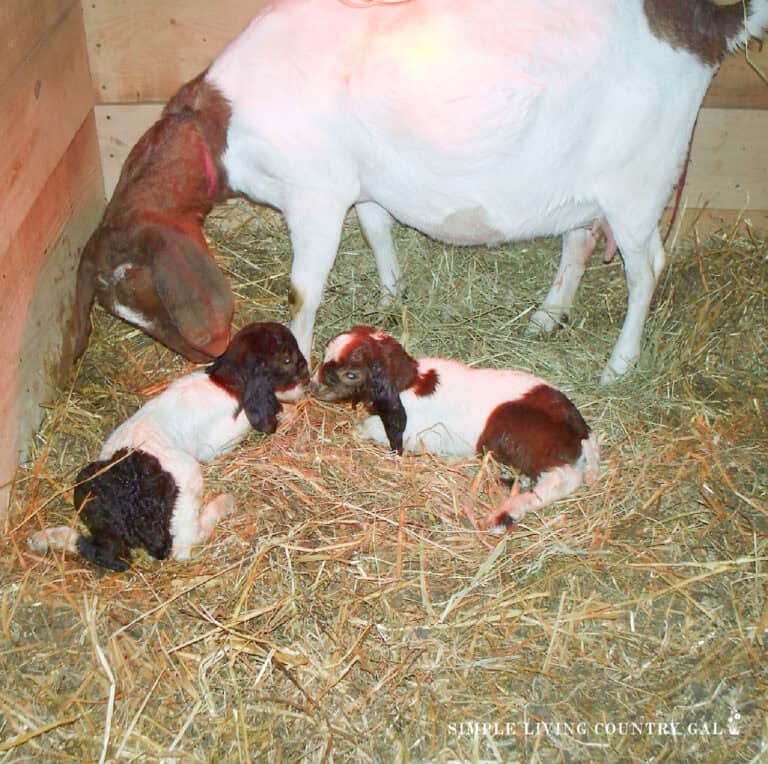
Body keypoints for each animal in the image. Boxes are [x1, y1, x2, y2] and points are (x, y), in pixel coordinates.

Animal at [28, 322, 308, 571]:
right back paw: (222, 504)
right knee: (184, 544)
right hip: (188, 475)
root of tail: (131, 509)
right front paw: (291, 408)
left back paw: (45, 538)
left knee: (104, 552)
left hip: (88, 488)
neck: (226, 379)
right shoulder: (218, 441)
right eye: (287, 359)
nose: (306, 371)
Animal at [73, 1, 768, 383]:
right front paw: (390, 296)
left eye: (147, 294)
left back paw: (618, 365)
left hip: (637, 180)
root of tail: (702, 27)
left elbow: (305, 285)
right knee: (577, 240)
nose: (201, 358)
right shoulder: (362, 181)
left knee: (646, 267)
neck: (224, 120)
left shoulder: (315, 192)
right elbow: (377, 226)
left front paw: (294, 355)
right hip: (590, 181)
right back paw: (547, 317)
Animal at [311, 326, 599, 529]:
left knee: (561, 479)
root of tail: (580, 432)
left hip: (521, 443)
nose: (313, 386)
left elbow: (367, 428)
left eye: (350, 374)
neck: (411, 383)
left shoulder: (417, 433)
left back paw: (504, 514)